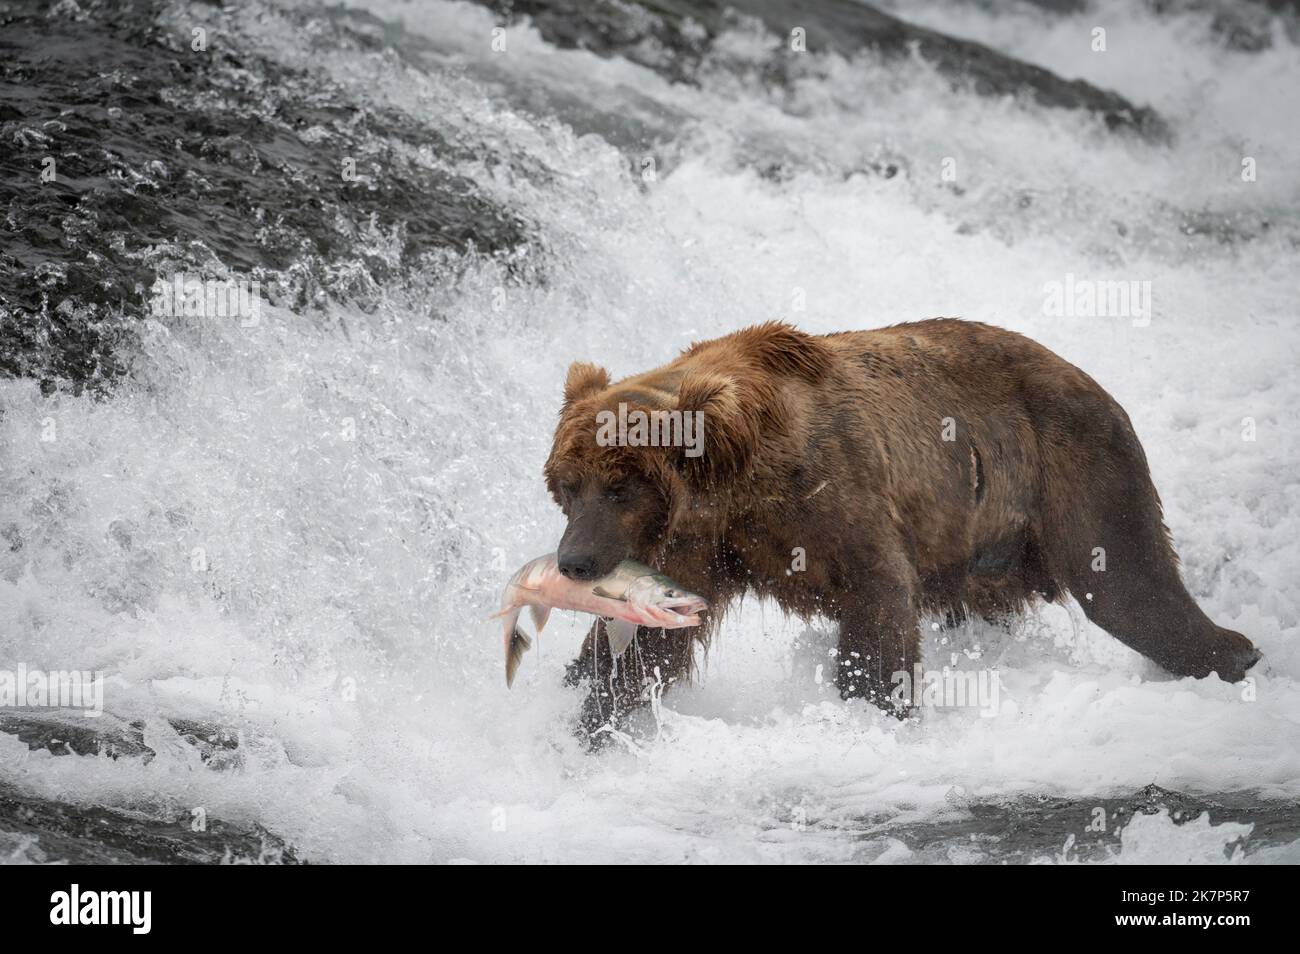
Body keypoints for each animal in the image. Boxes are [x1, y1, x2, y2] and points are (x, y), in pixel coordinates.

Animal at [543, 319, 1261, 738]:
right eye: (566, 486)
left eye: (618, 486)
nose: (574, 561)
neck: (741, 477)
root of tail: (1094, 381)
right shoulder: (697, 543)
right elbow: (650, 641)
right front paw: (595, 710)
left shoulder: (835, 495)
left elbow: (877, 602)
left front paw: (874, 709)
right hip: (981, 550)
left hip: (1073, 466)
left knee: (1128, 584)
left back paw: (1234, 653)